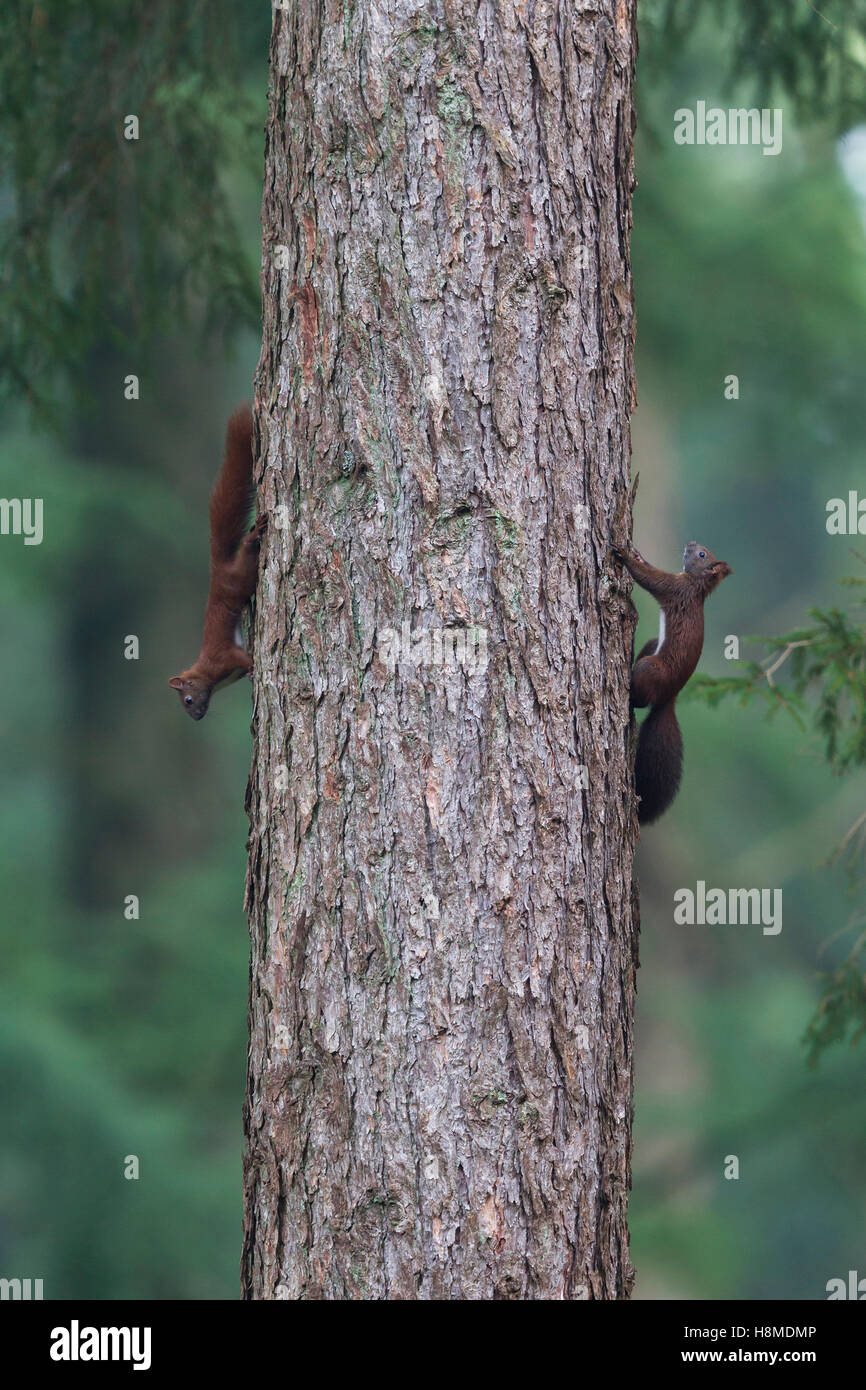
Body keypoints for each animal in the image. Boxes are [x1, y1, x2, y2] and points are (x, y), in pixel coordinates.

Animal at [168, 403, 265, 720]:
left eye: (187, 699)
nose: (197, 717)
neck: (210, 677)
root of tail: (219, 569)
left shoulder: (223, 657)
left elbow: (242, 658)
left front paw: (253, 666)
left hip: (240, 577)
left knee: (247, 553)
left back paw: (255, 534)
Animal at [611, 540, 732, 823]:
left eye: (702, 554)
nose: (691, 543)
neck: (696, 586)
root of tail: (670, 696)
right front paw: (637, 554)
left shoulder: (675, 589)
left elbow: (650, 578)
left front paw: (626, 556)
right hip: (653, 645)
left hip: (651, 669)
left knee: (641, 700)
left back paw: (630, 695)